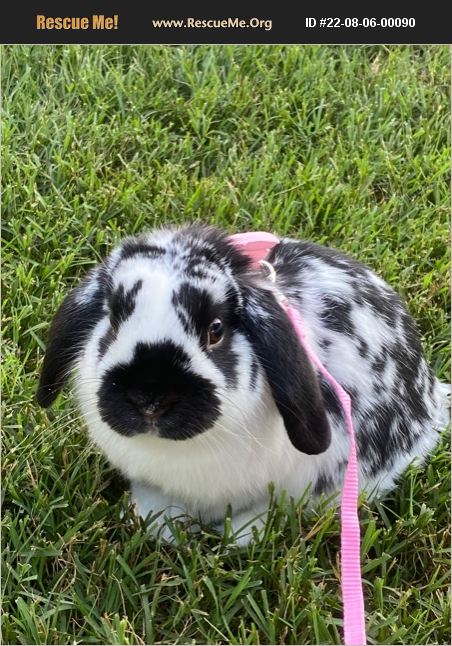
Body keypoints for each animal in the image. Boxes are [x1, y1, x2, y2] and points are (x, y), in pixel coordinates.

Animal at [37, 225, 450, 544]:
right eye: (114, 318)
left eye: (216, 330)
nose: (150, 399)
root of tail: (433, 395)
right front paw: (156, 524)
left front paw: (239, 536)